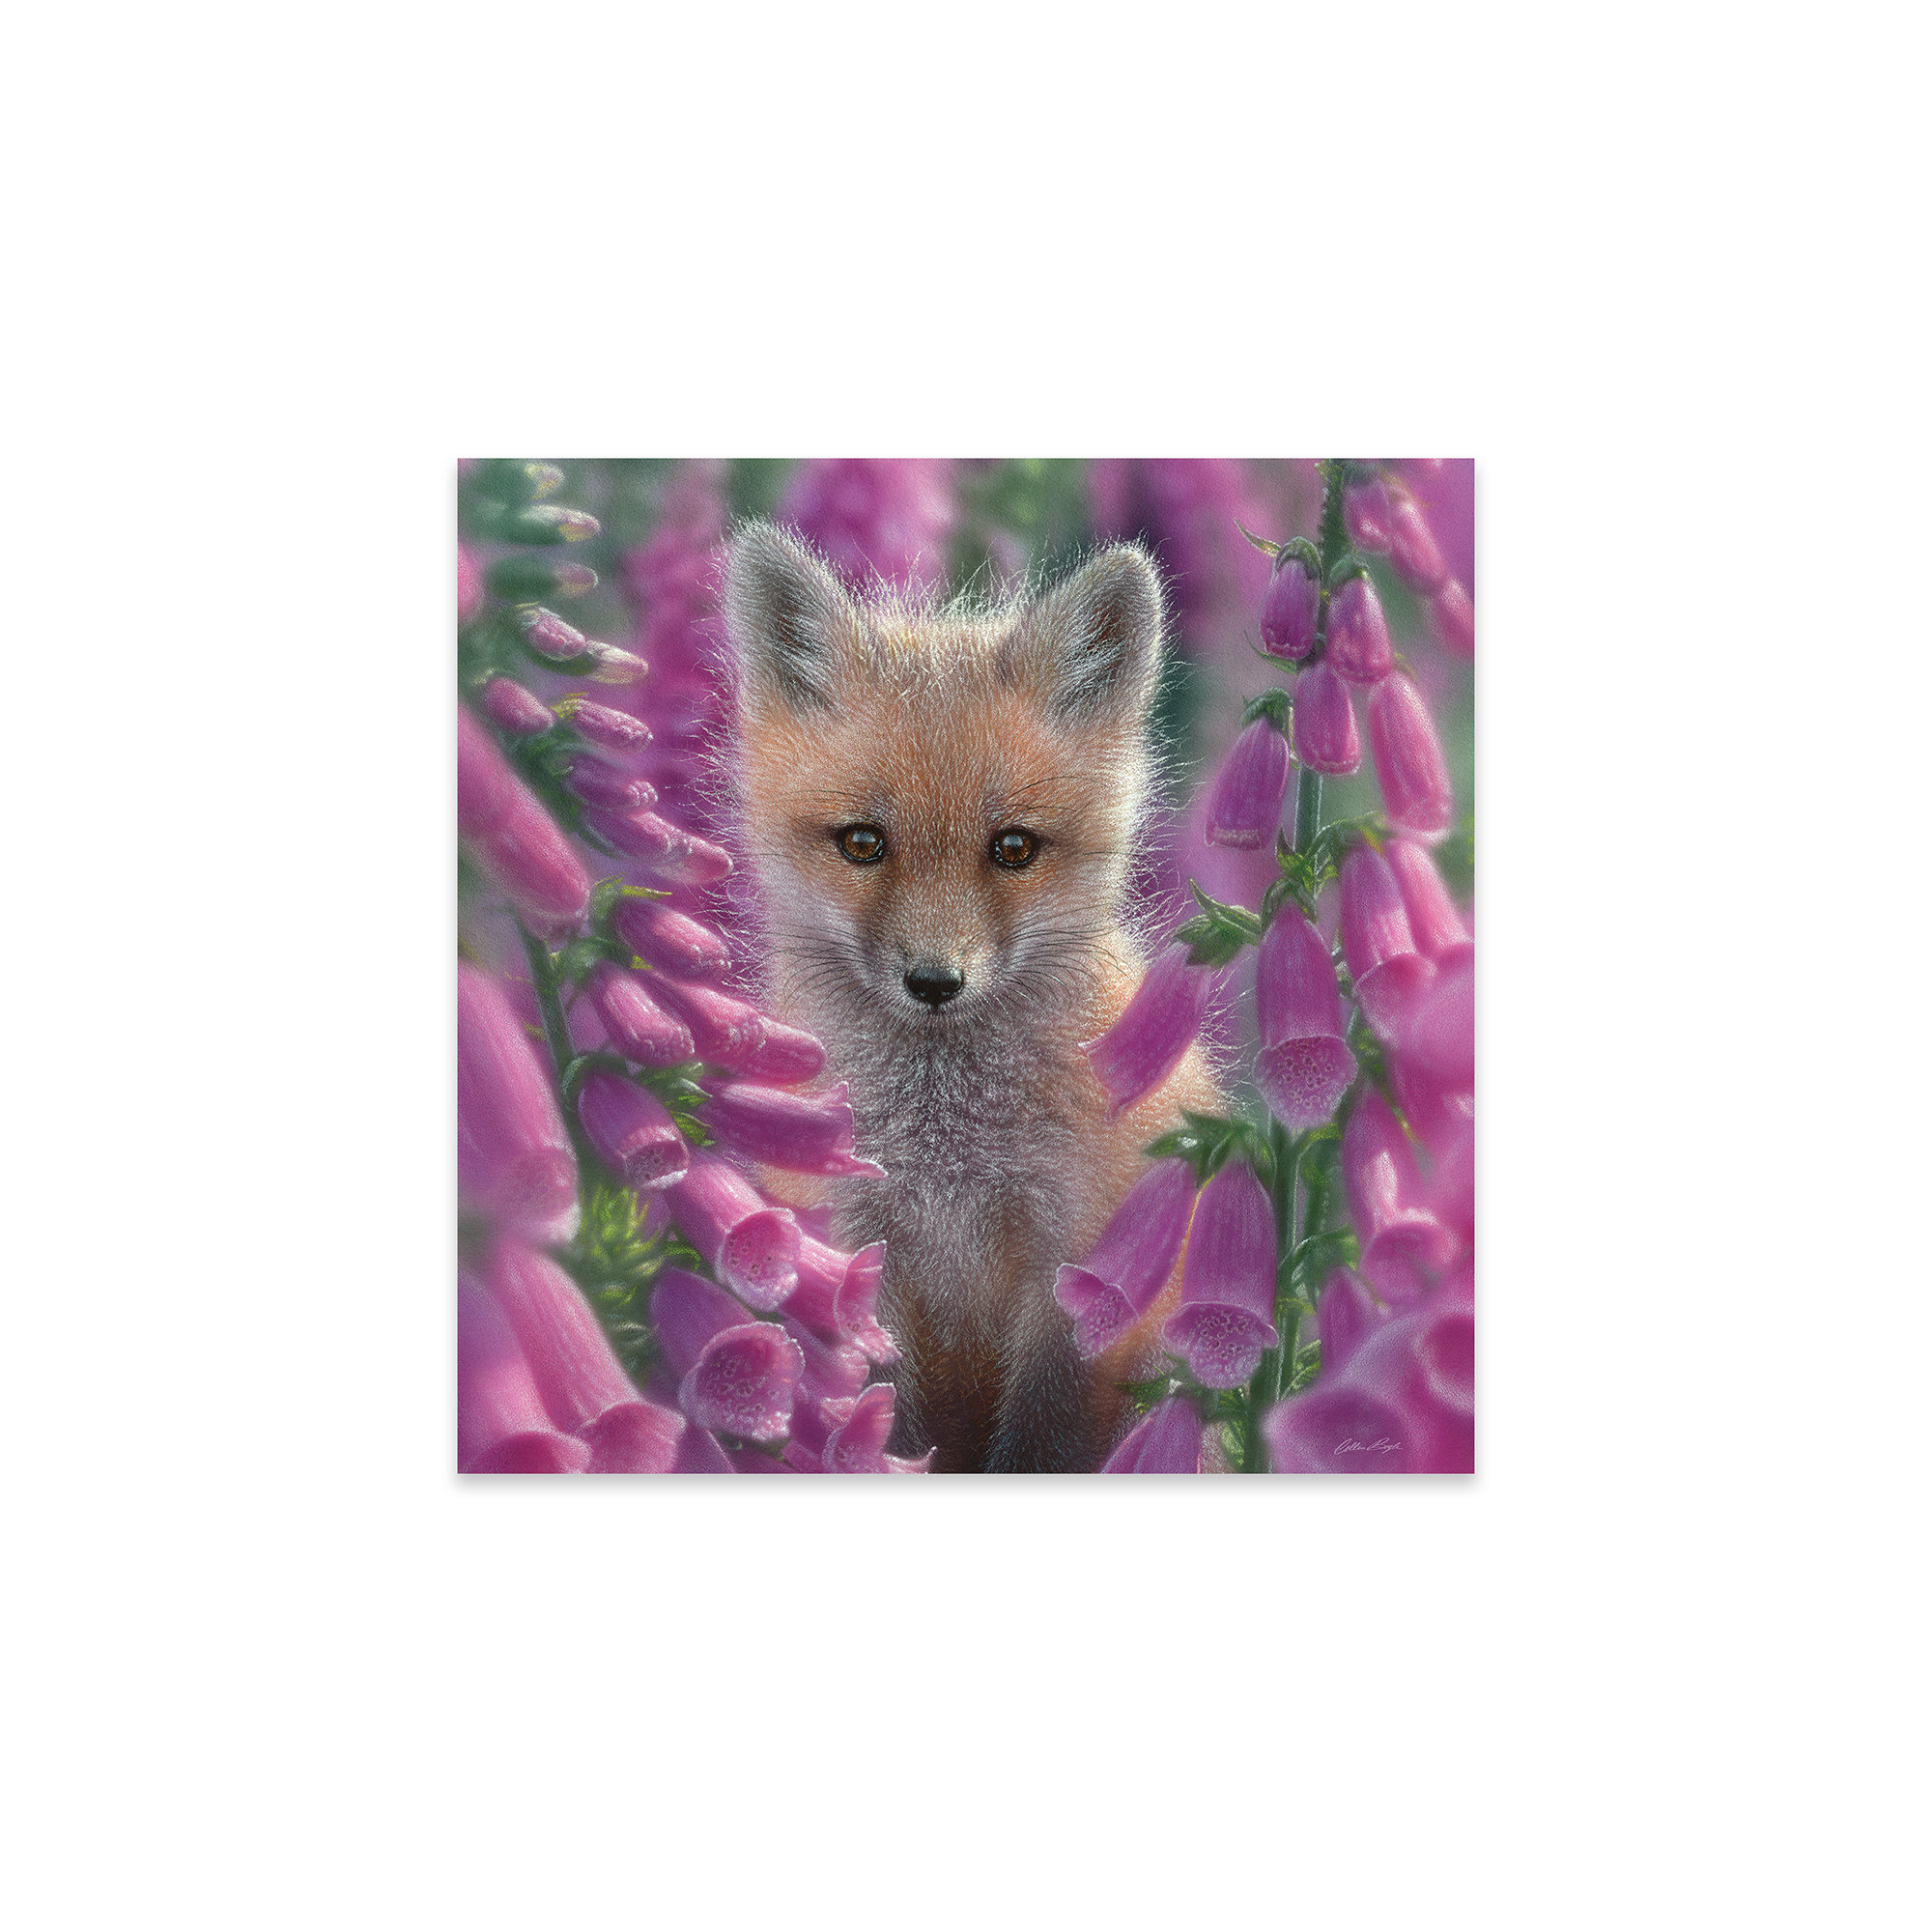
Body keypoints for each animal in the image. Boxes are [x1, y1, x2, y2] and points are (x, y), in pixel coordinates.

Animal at [722, 522, 1220, 1473]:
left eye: (1014, 847)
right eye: (863, 843)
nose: (934, 982)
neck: (947, 1159)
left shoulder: (1072, 1265)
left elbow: (1041, 1442)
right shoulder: (857, 1251)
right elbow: (886, 1420)